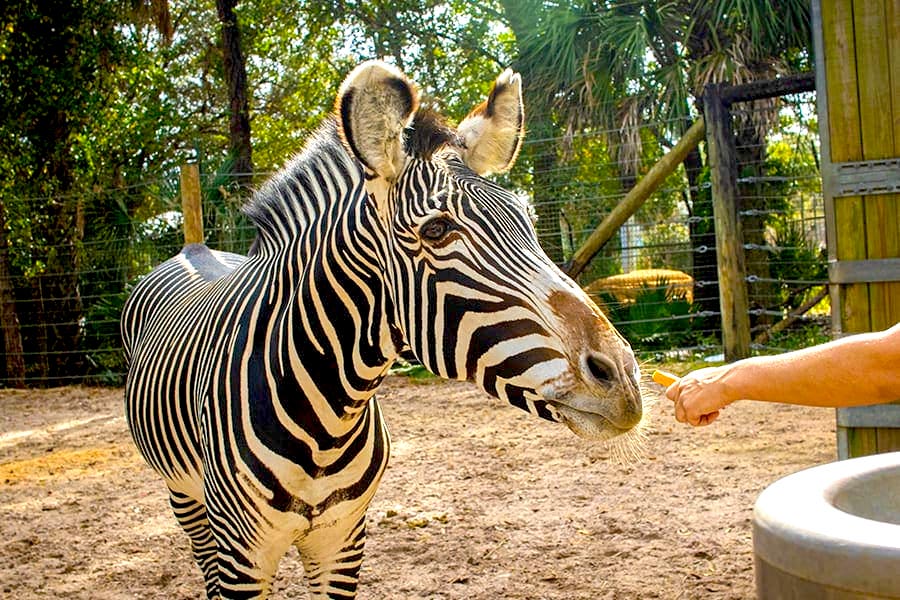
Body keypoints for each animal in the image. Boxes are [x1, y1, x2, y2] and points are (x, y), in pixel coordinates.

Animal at [122, 61, 644, 599]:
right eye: (436, 230)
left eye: (527, 219)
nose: (623, 380)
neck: (327, 425)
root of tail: (195, 248)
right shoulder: (242, 557)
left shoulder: (343, 543)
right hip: (185, 499)